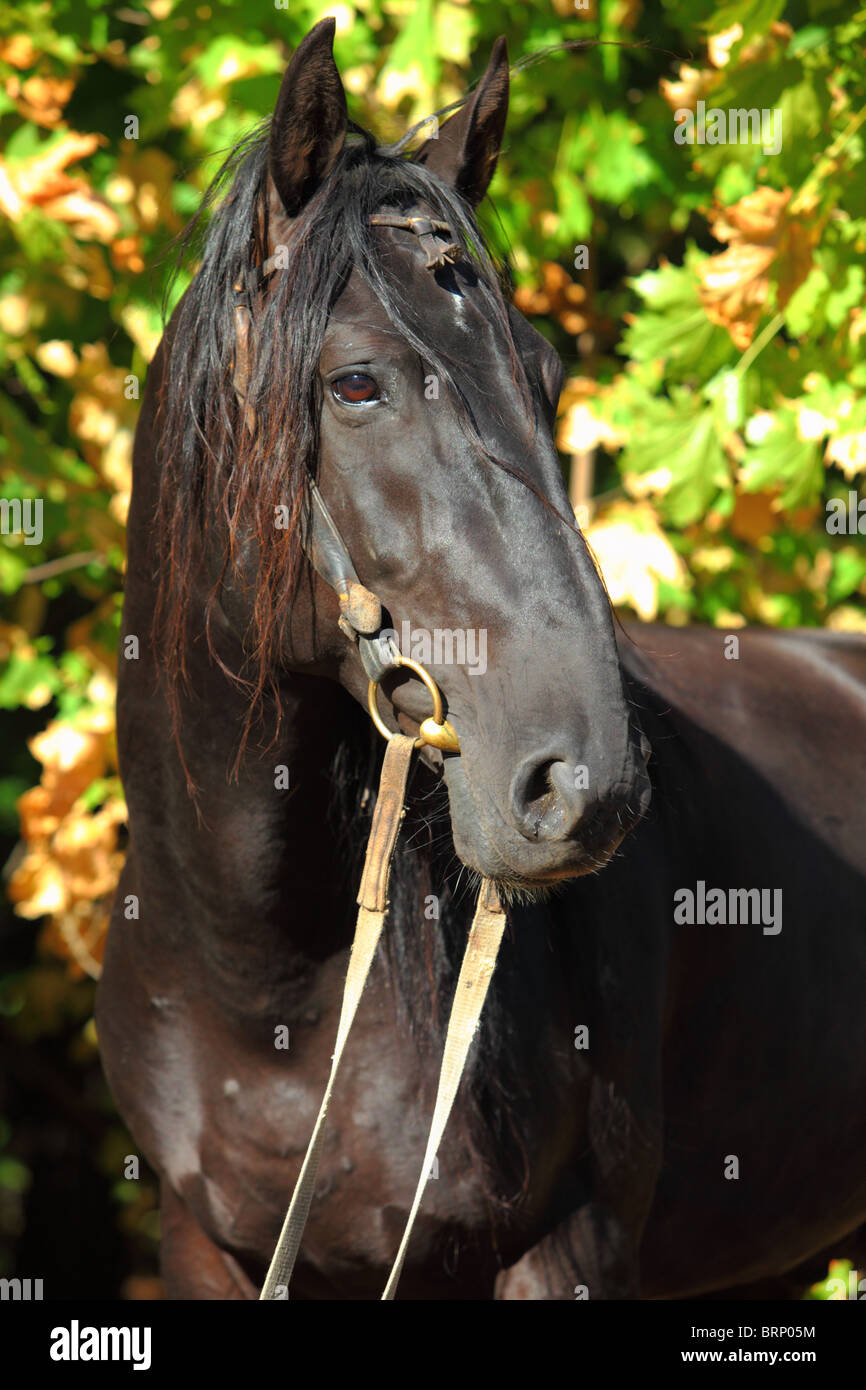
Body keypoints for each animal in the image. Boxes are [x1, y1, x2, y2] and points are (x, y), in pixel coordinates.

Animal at [96, 20, 866, 1299]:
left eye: (542, 373)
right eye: (354, 382)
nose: (585, 783)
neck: (271, 992)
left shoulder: (566, 1247)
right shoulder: (202, 1246)